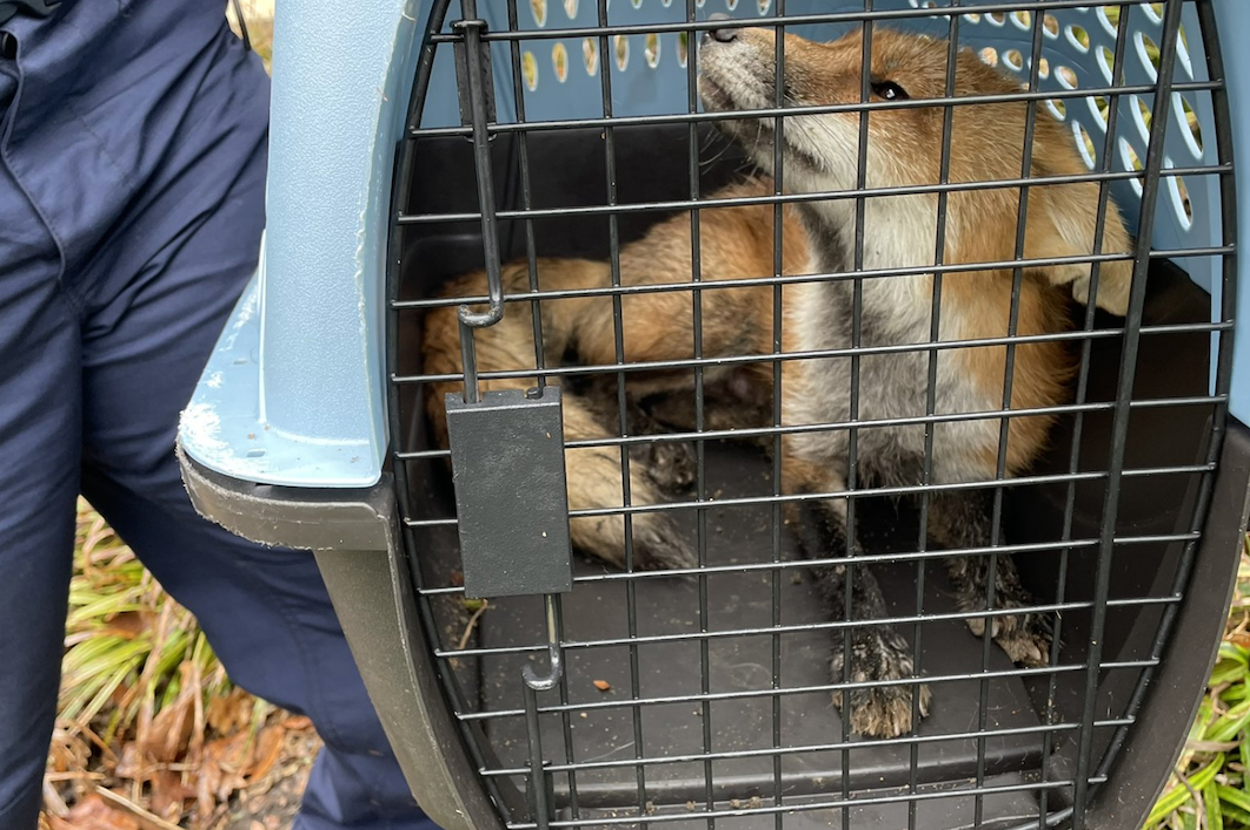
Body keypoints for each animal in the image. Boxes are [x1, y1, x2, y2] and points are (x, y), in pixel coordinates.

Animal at [421, 25, 1135, 738]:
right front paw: (876, 662)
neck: (890, 385)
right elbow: (849, 569)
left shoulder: (967, 456)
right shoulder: (812, 467)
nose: (720, 26)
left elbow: (989, 535)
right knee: (597, 376)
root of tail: (616, 266)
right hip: (712, 319)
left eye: (889, 92)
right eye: (841, 37)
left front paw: (1012, 600)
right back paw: (656, 447)